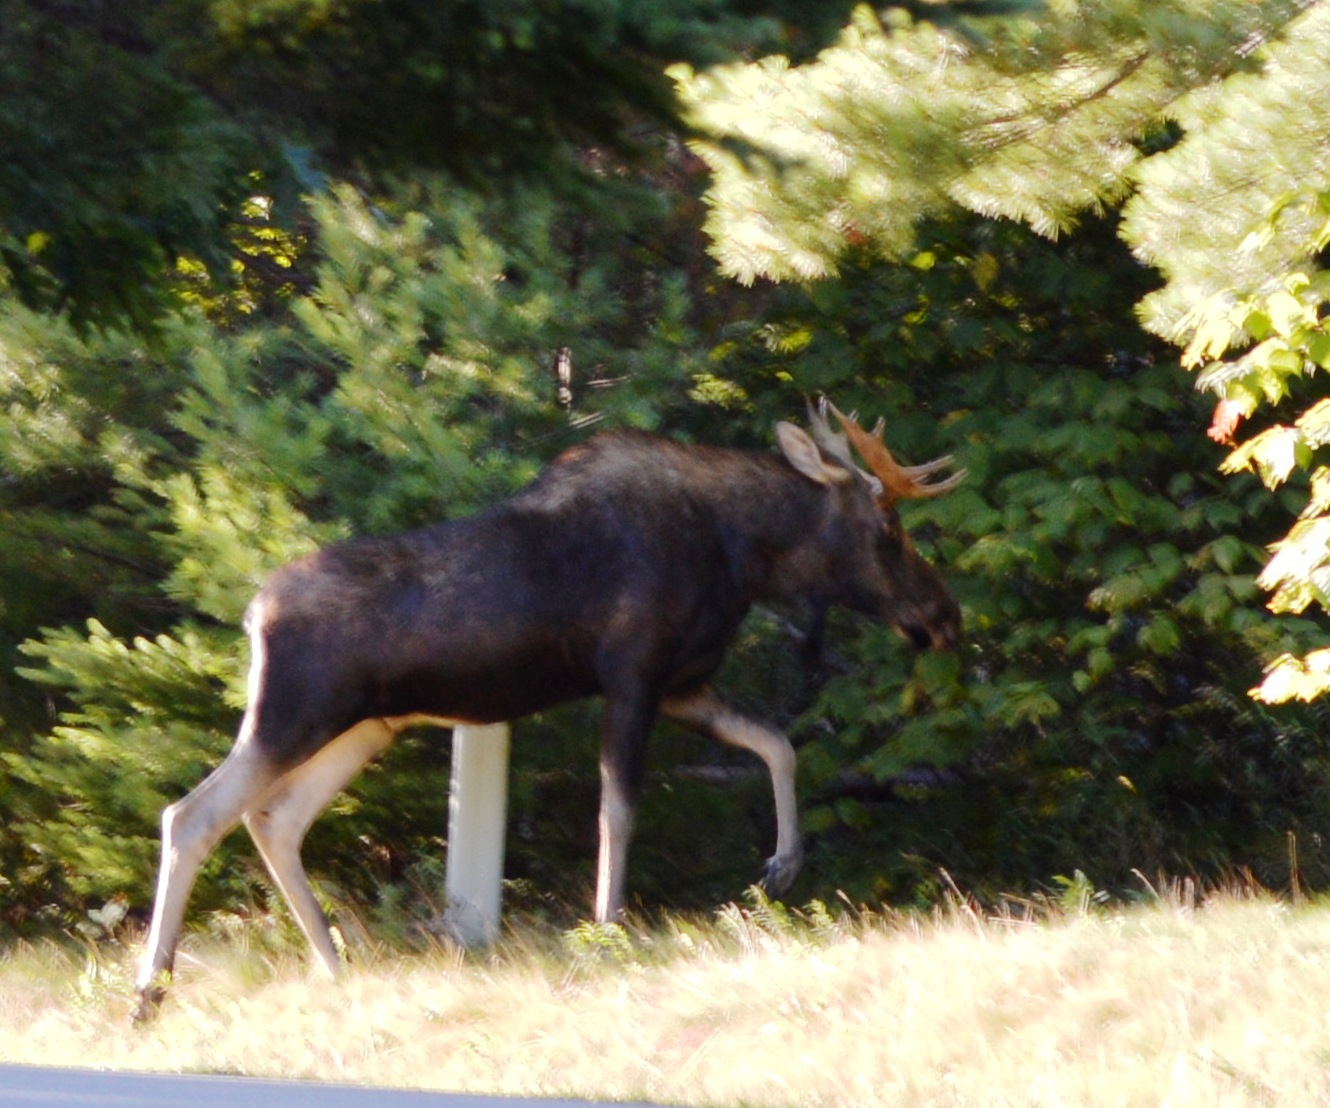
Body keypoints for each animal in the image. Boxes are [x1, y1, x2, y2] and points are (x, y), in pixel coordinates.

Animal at [132, 399, 963, 1020]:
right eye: (888, 531)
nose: (944, 617)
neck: (743, 555)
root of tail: (254, 615)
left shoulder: (684, 682)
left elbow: (778, 745)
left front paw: (782, 864)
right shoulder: (633, 675)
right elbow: (619, 812)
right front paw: (606, 930)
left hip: (362, 726)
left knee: (274, 818)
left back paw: (334, 965)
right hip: (292, 714)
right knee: (192, 815)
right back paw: (150, 992)